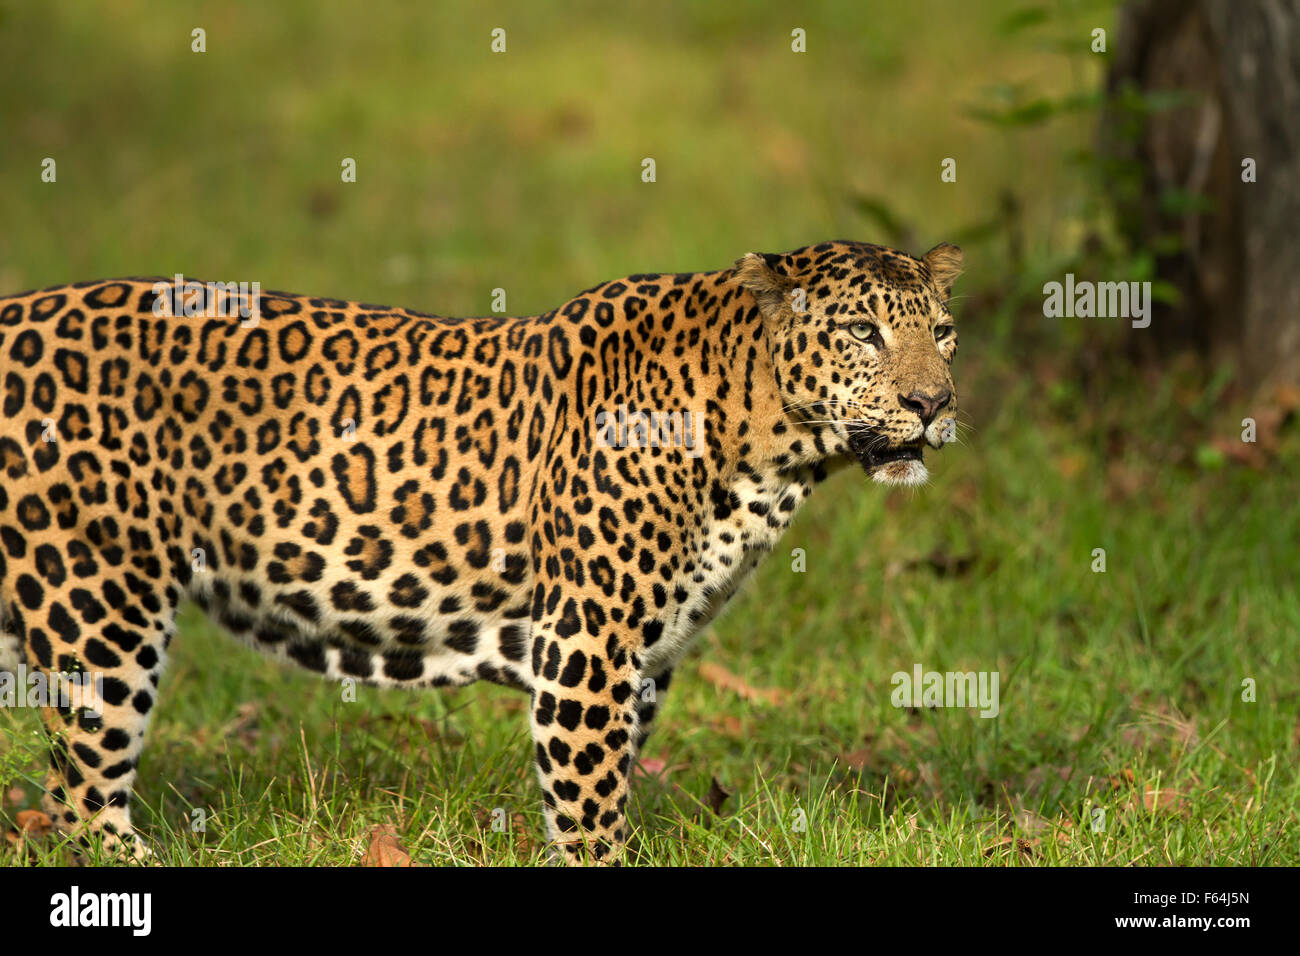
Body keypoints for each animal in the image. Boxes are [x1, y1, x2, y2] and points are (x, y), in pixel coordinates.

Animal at [0, 239, 962, 864]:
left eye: (943, 331)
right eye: (862, 332)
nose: (934, 402)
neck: (767, 445)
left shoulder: (646, 660)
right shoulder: (586, 649)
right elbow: (590, 813)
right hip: (100, 607)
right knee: (81, 802)